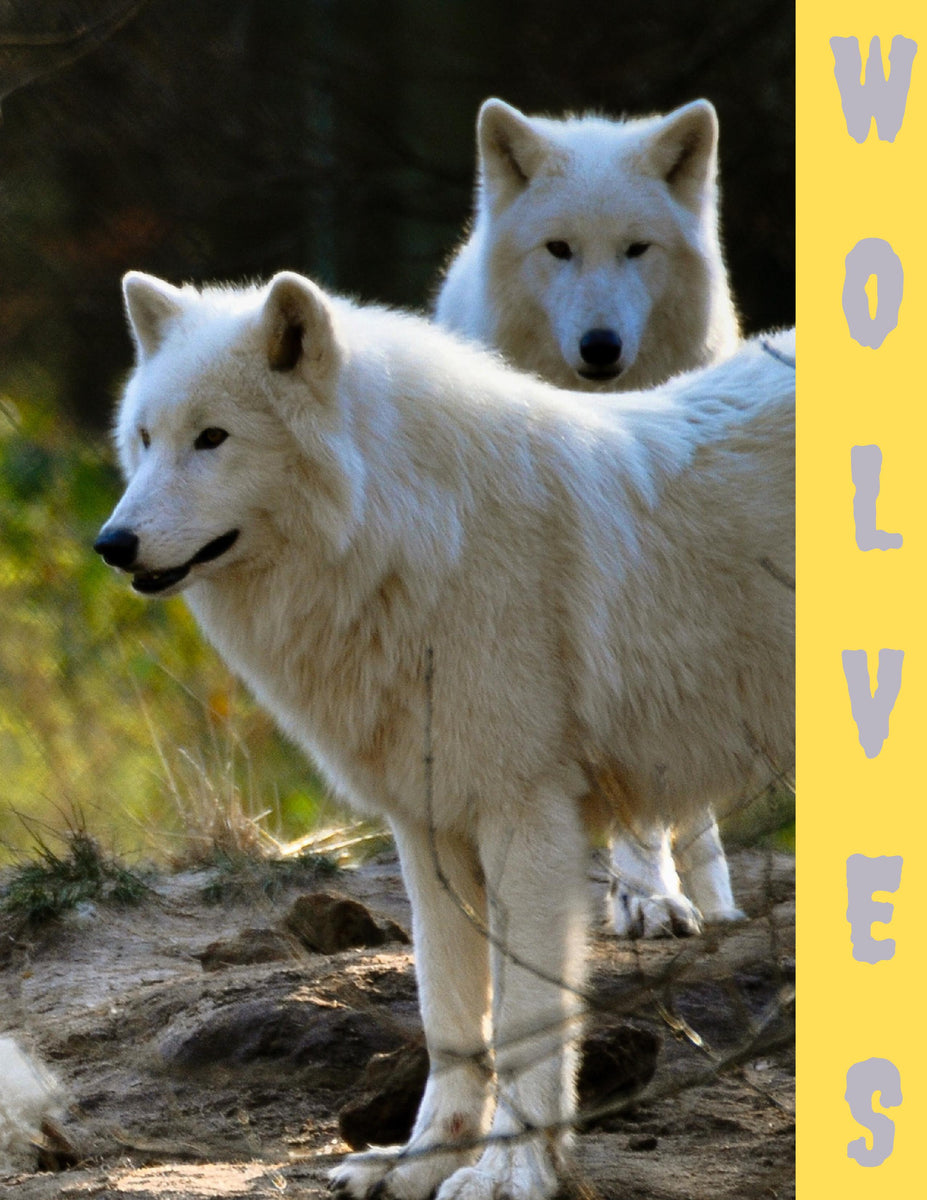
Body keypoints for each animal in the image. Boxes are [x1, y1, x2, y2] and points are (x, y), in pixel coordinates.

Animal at [95, 270, 794, 1200]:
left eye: (212, 438)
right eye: (145, 439)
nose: (111, 543)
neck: (418, 536)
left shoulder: (527, 821)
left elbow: (526, 1022)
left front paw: (511, 1175)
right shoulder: (426, 829)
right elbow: (451, 1020)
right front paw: (421, 1160)